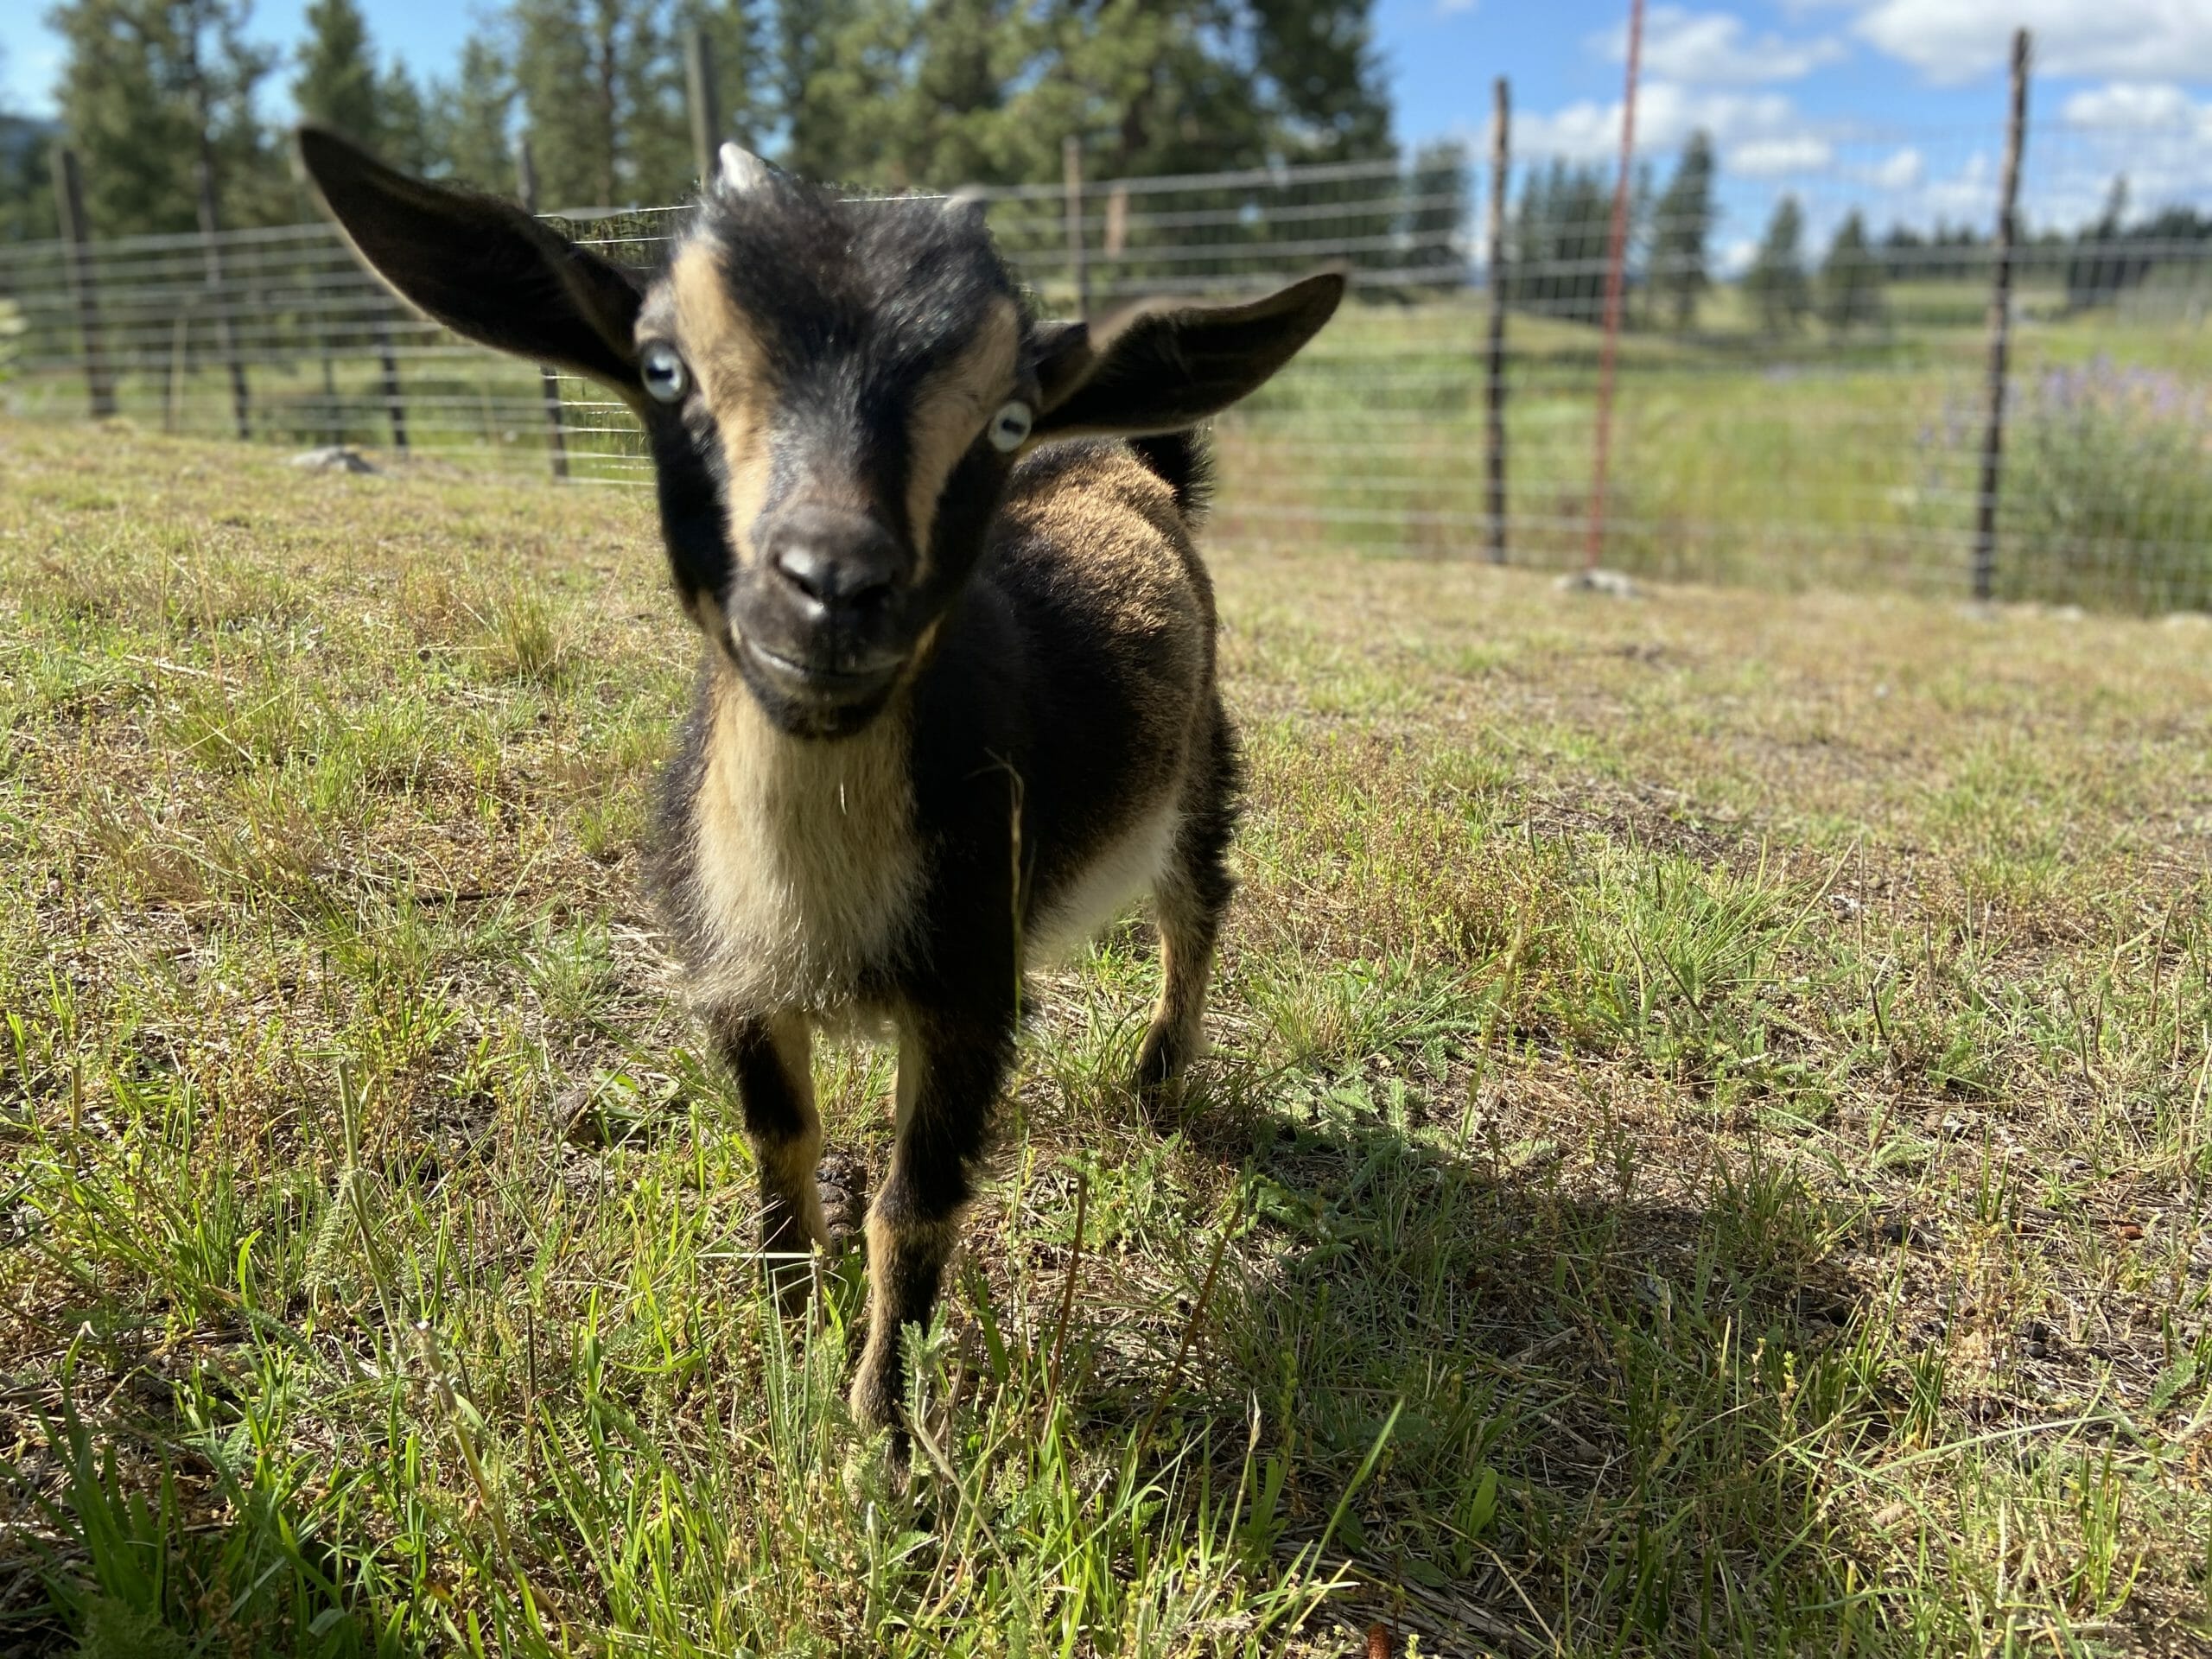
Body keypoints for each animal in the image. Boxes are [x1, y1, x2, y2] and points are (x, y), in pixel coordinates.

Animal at [296, 127, 1343, 1442]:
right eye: (663, 369)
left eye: (1005, 415)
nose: (835, 585)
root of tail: (1130, 458)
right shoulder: (732, 973)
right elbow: (780, 1147)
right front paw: (790, 1329)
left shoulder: (966, 989)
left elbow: (915, 1207)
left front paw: (880, 1429)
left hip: (1201, 757)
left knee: (1196, 901)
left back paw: (1157, 1080)